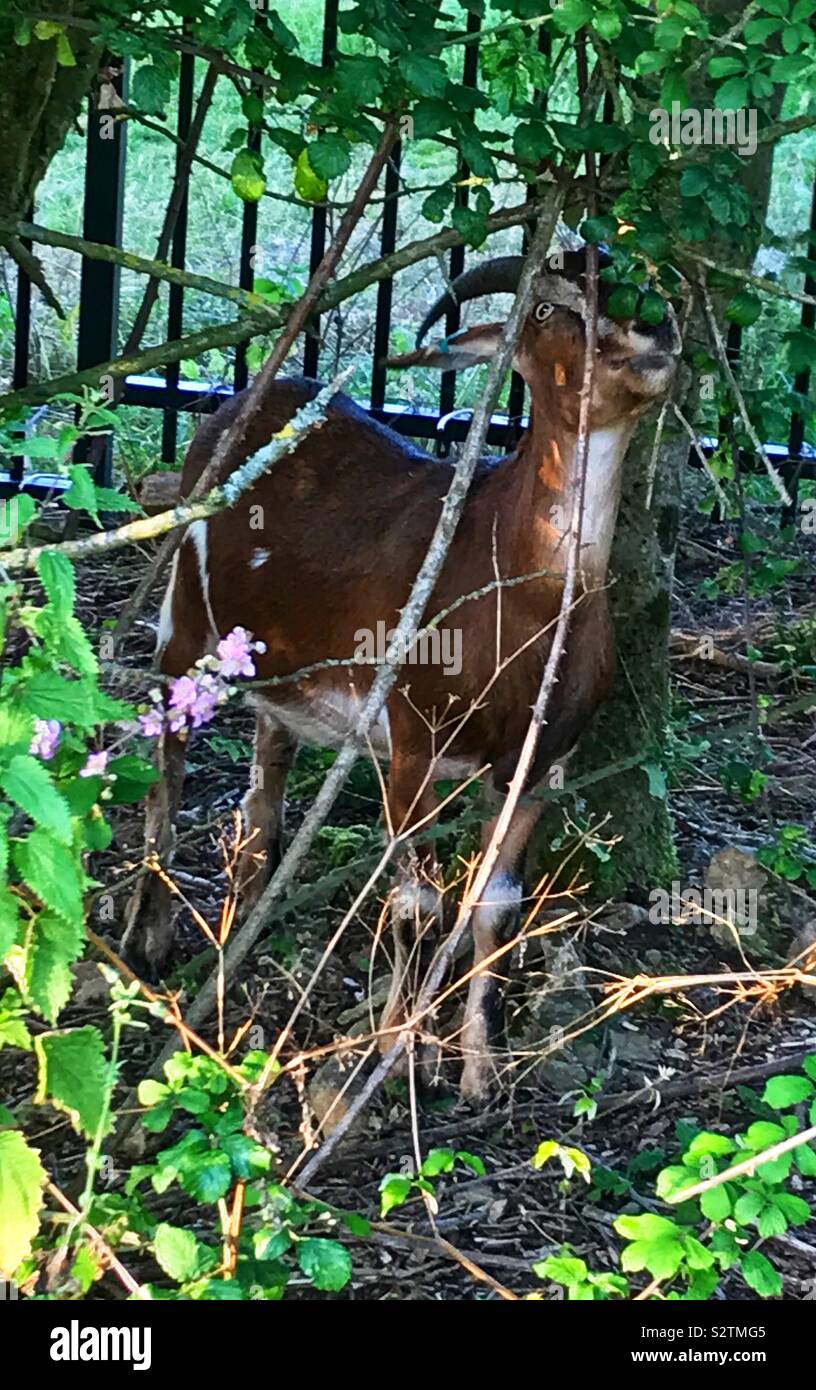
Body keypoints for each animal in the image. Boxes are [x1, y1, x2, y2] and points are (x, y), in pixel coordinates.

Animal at [124, 248, 681, 1101]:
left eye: (641, 288)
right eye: (547, 311)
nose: (657, 337)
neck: (523, 597)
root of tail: (233, 408)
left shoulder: (539, 760)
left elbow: (495, 905)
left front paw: (480, 1070)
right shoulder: (413, 737)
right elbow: (418, 901)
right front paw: (392, 1060)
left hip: (279, 674)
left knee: (262, 787)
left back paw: (246, 927)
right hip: (186, 619)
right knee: (167, 767)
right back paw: (149, 942)